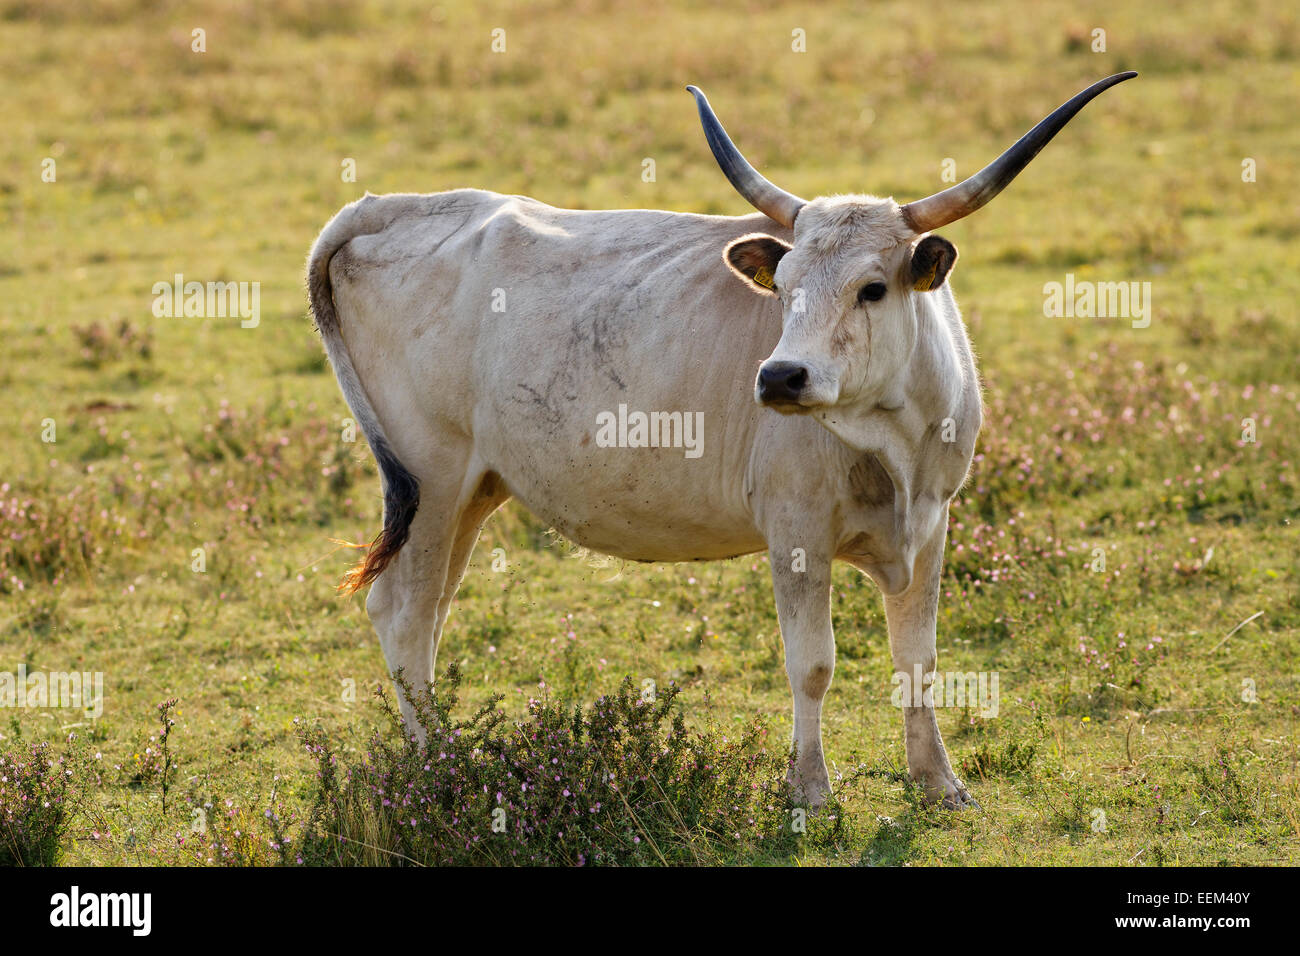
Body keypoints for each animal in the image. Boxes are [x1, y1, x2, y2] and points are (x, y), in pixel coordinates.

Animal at [308, 73, 1136, 809]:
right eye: (784, 287)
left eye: (872, 287)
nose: (781, 376)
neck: (891, 443)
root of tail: (392, 207)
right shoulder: (796, 531)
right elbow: (813, 664)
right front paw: (810, 791)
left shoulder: (932, 524)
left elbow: (919, 659)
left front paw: (939, 784)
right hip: (433, 480)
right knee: (404, 612)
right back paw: (438, 767)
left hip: (472, 492)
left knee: (429, 611)